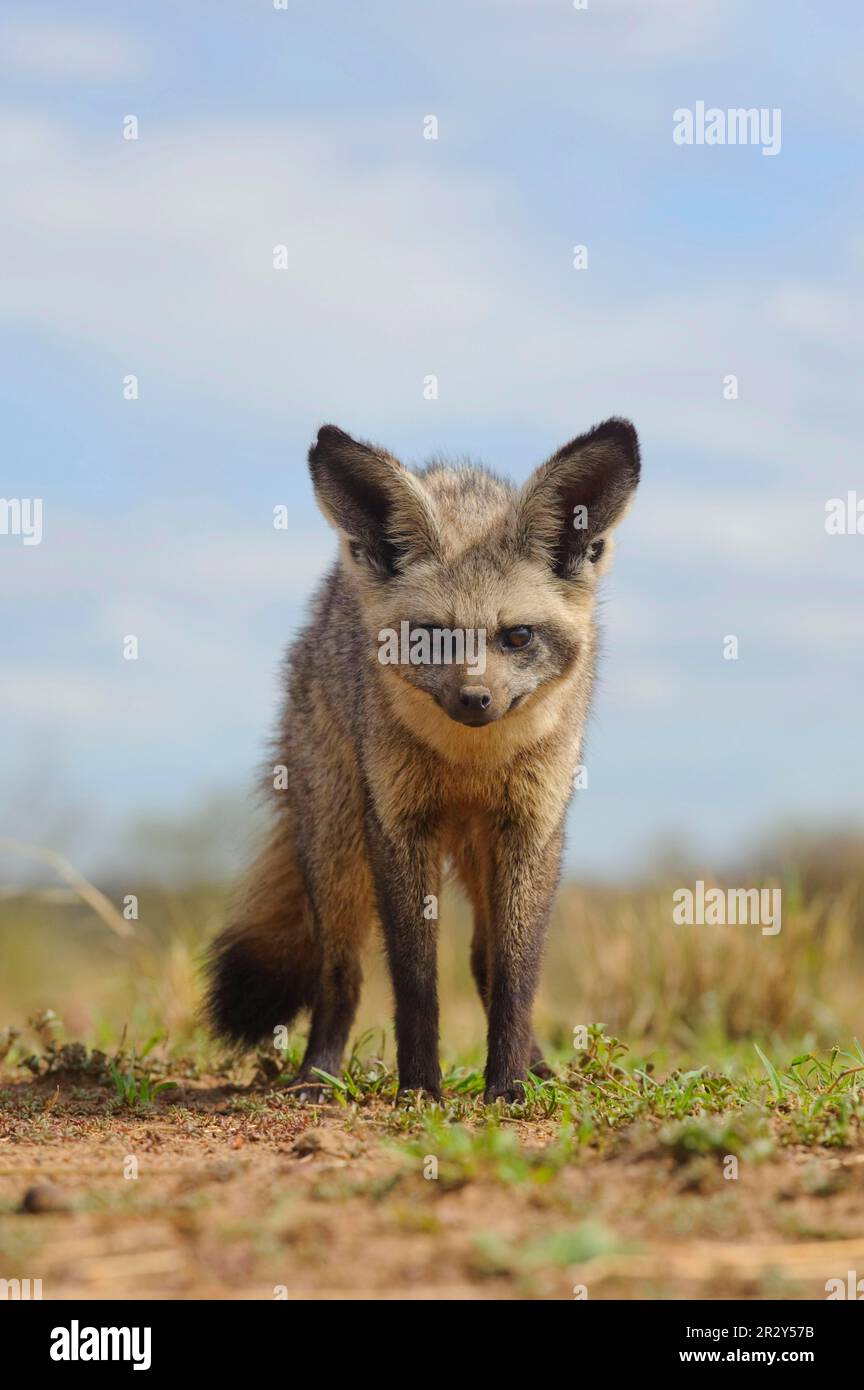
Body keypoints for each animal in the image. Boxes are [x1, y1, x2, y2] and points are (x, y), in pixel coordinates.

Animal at [205, 418, 640, 1102]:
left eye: (517, 636)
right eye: (432, 637)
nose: (475, 699)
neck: (469, 764)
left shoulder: (532, 826)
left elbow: (516, 974)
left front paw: (508, 1088)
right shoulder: (398, 825)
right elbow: (414, 980)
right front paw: (419, 1090)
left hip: (477, 855)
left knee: (485, 961)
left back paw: (537, 1069)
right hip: (337, 849)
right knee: (339, 974)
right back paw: (318, 1072)